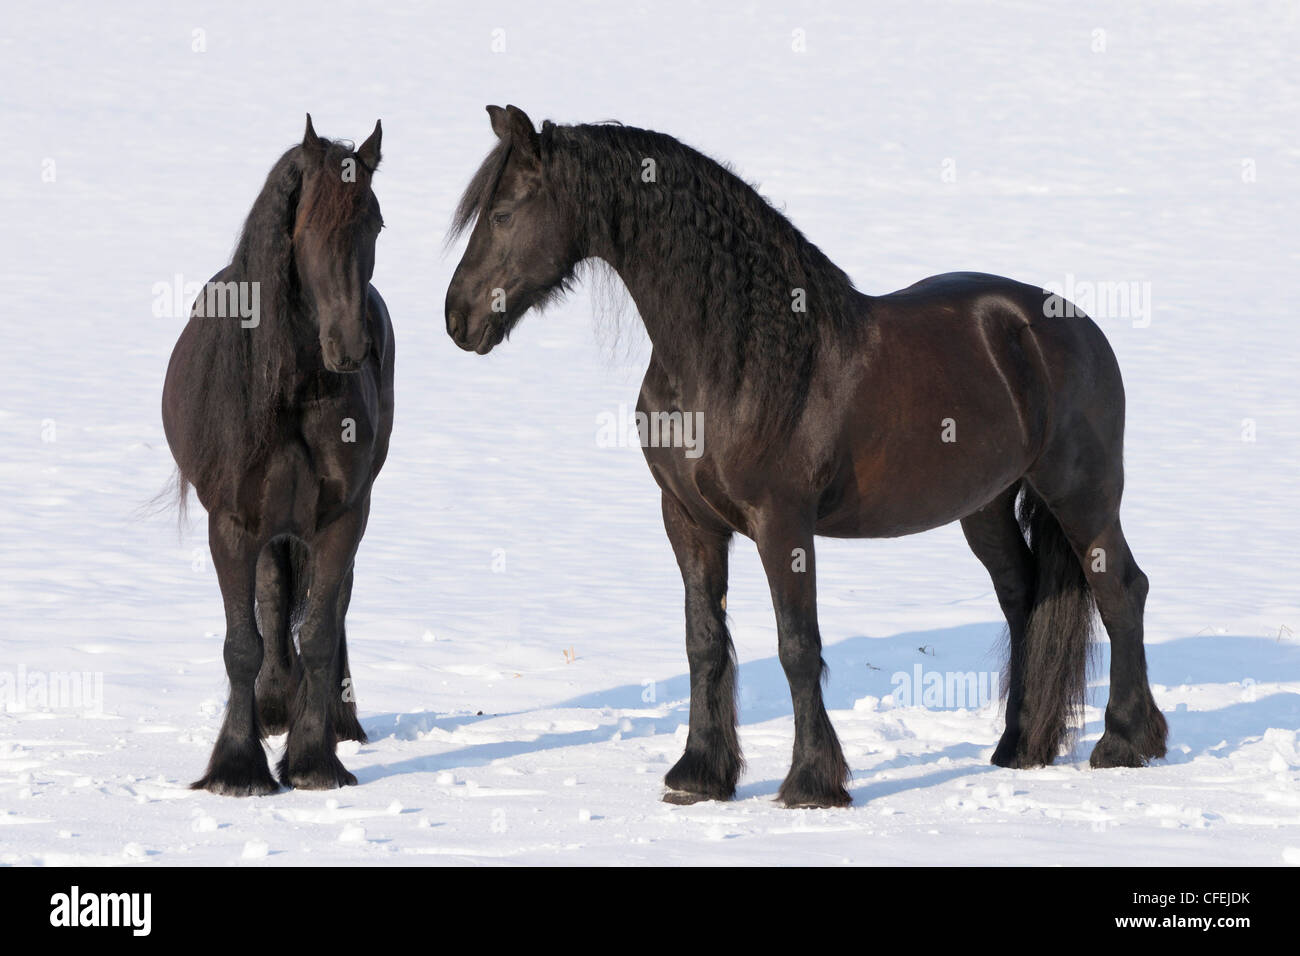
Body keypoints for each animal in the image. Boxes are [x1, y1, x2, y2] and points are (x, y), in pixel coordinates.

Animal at [162, 116, 394, 795]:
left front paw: (314, 759)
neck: (293, 391)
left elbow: (317, 631)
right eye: (305, 225)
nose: (351, 346)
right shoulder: (232, 524)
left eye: (375, 223)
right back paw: (269, 710)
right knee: (268, 604)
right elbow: (244, 643)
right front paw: (237, 767)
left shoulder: (344, 518)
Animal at [444, 105, 1168, 808]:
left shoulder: (782, 523)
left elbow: (797, 644)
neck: (736, 355)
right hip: (986, 507)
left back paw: (1127, 742)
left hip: (1081, 495)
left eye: (503, 213)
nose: (457, 318)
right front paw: (699, 775)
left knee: (1120, 591)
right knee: (1024, 601)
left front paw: (813, 782)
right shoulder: (687, 519)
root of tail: (1065, 326)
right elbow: (704, 642)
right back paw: (1019, 746)